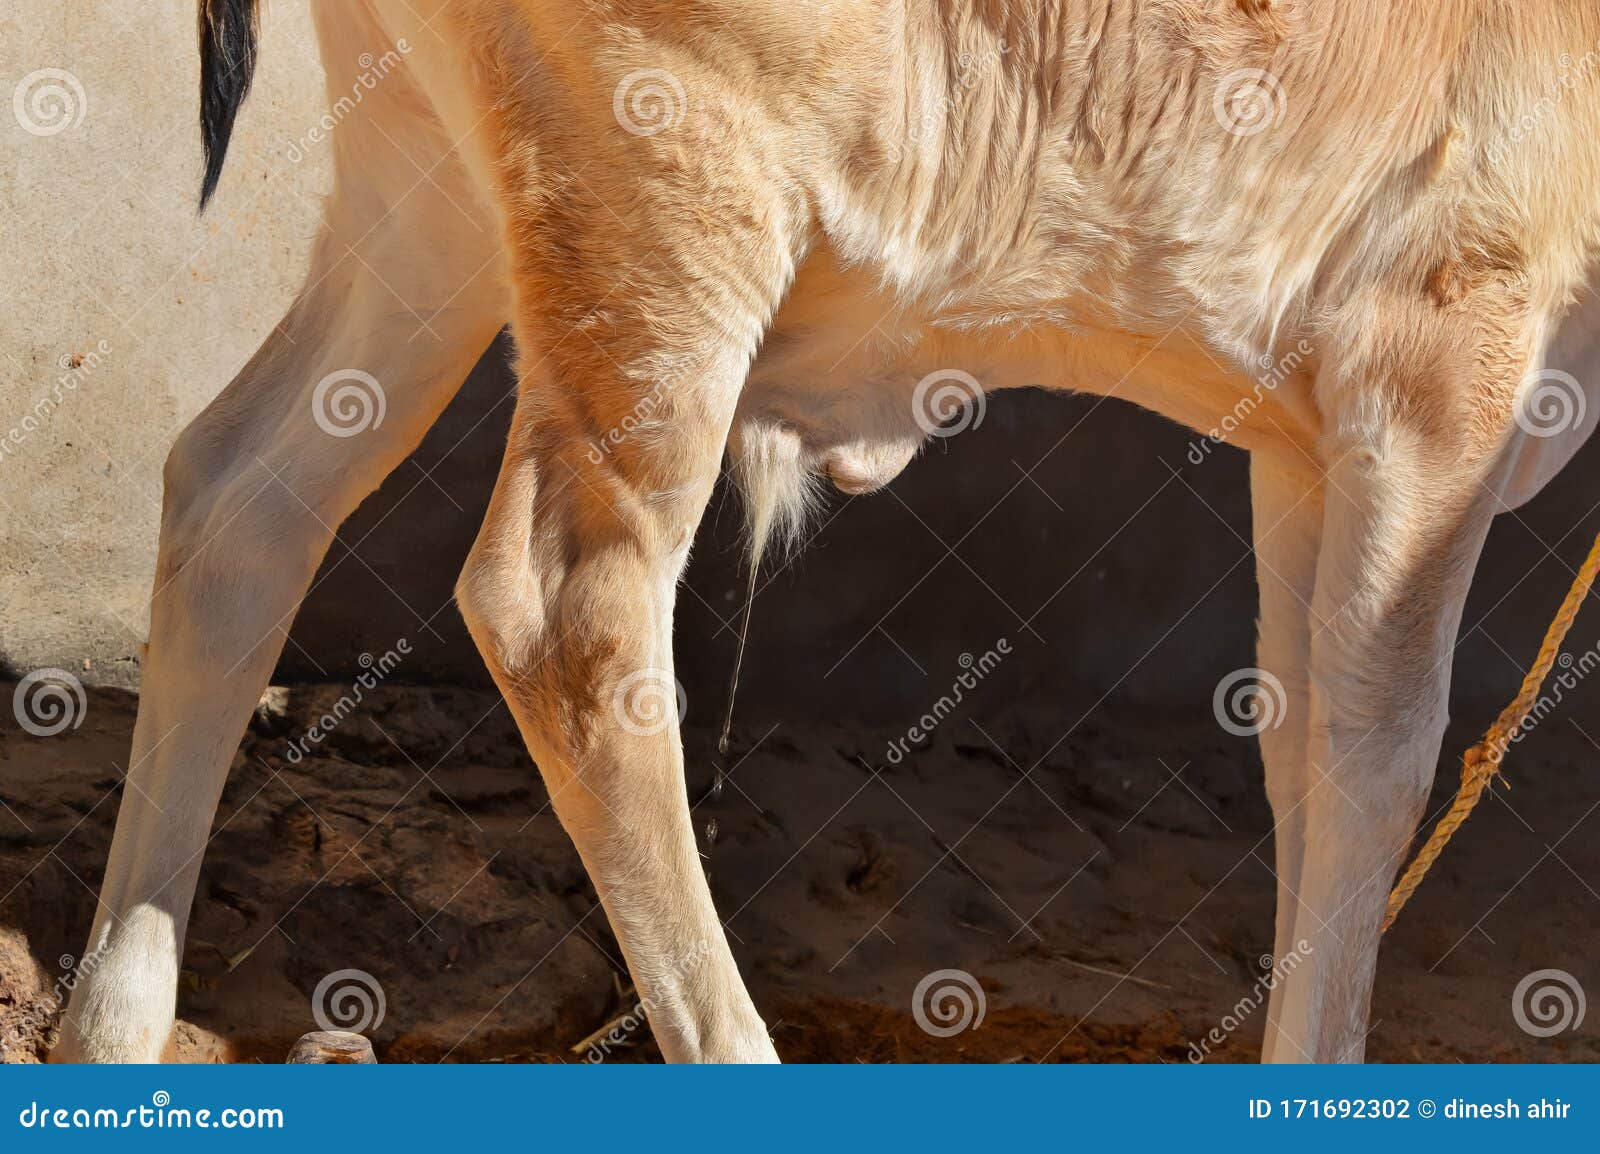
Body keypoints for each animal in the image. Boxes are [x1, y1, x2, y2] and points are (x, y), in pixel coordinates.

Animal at [55, 0, 1600, 1063]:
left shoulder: (1307, 428)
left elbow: (1298, 743)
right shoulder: (1441, 355)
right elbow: (1377, 761)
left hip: (424, 192)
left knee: (240, 491)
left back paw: (111, 1021)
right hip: (665, 217)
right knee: (563, 611)